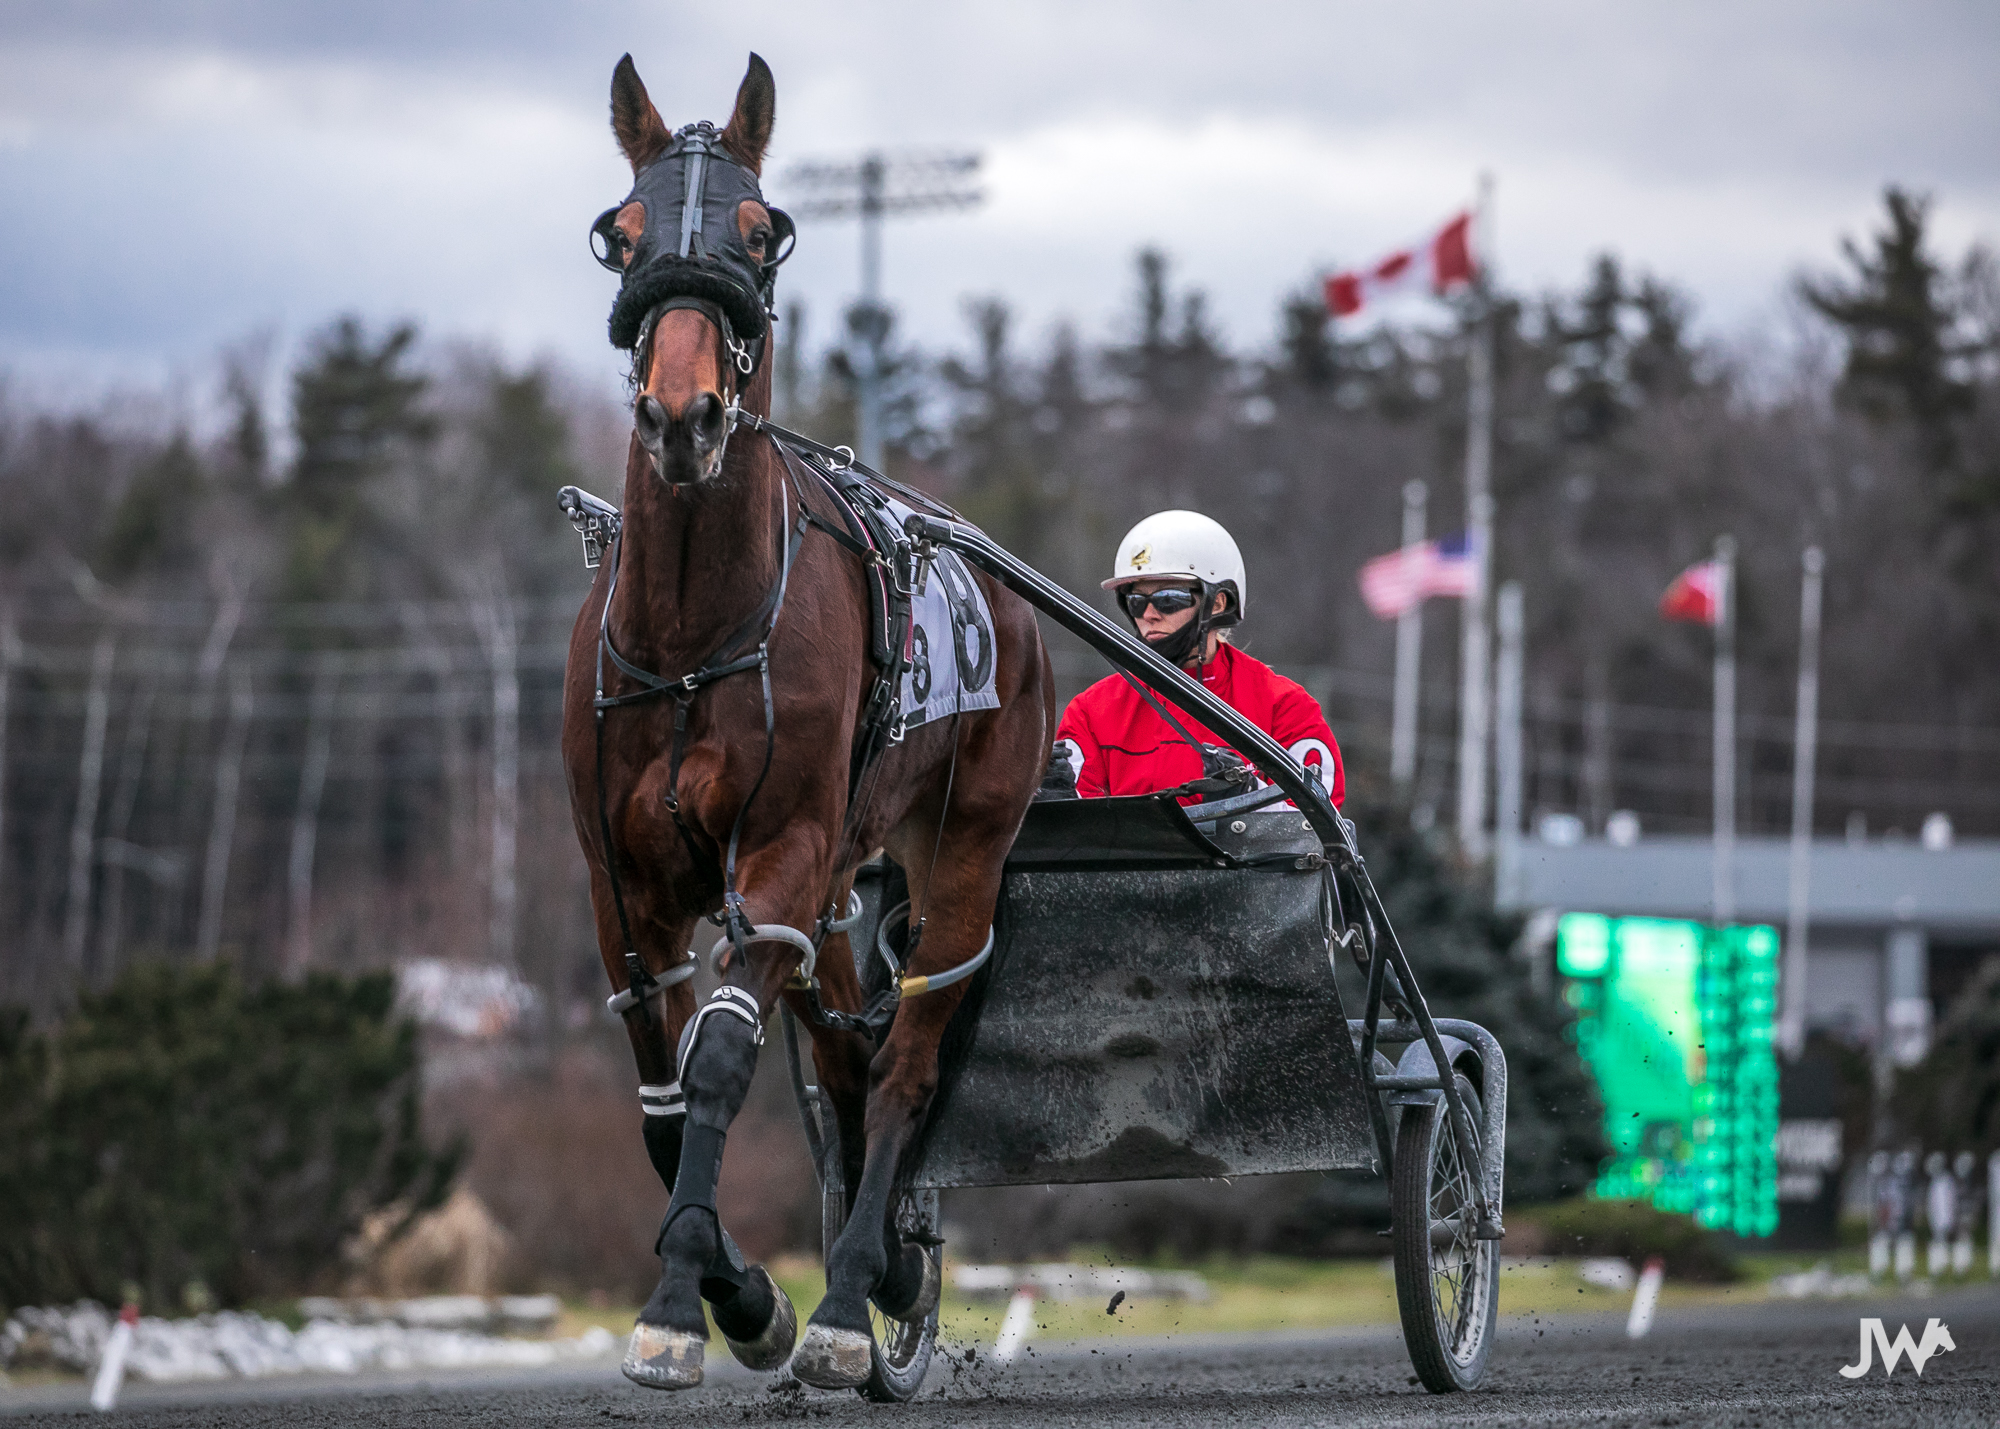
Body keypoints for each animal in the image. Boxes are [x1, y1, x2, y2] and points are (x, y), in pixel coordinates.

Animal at [560, 52, 1053, 1392]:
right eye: (621, 236)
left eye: (756, 230)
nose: (680, 414)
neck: (691, 632)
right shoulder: (622, 888)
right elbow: (661, 1105)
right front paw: (734, 1295)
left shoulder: (779, 853)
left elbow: (726, 1060)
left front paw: (702, 1306)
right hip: (843, 888)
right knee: (843, 1047)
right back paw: (877, 1268)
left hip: (958, 851)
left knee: (902, 1063)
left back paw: (852, 1297)